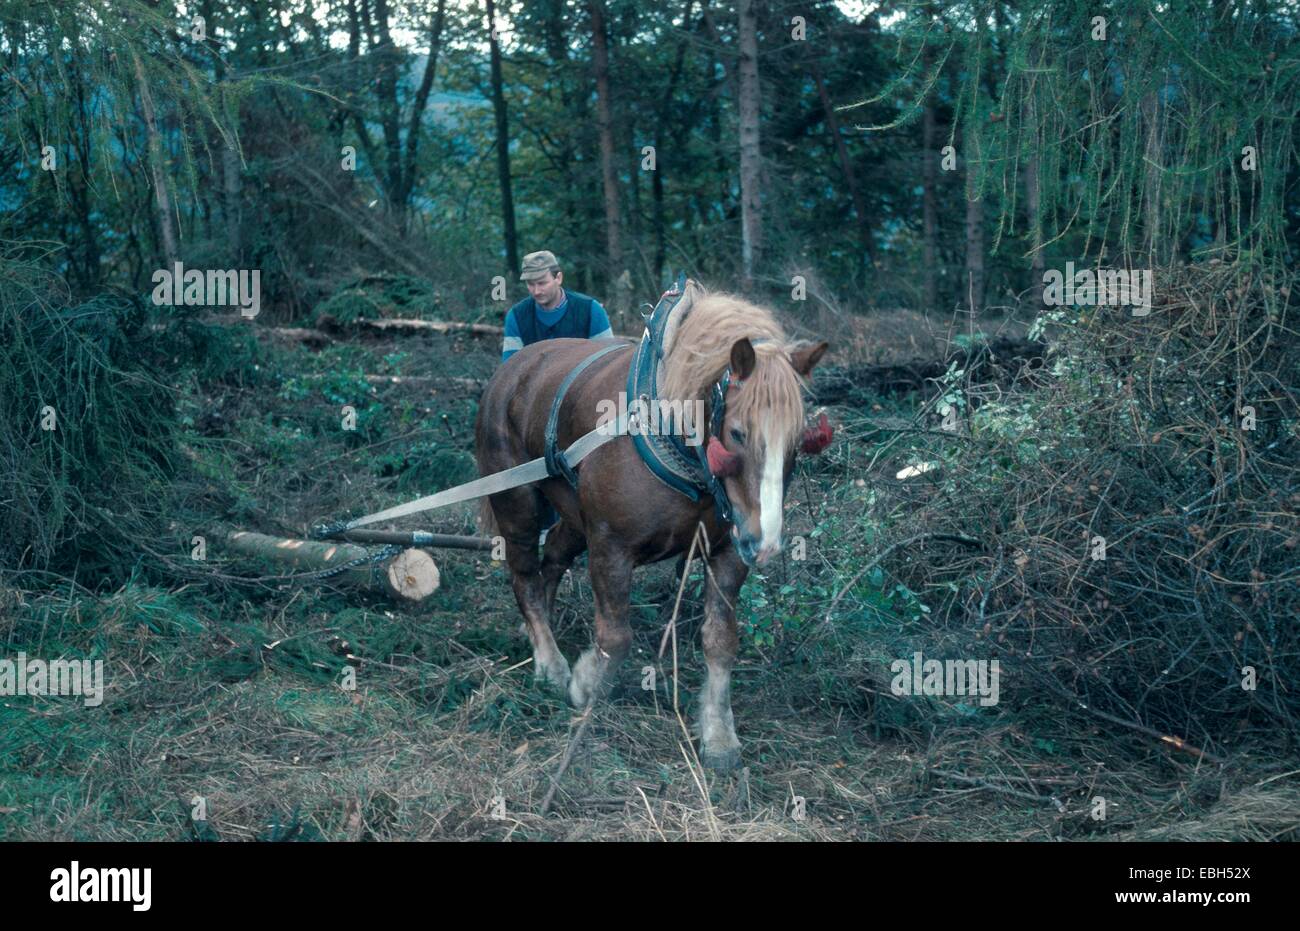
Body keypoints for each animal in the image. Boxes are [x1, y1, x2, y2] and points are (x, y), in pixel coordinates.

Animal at [474, 284, 829, 770]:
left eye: (798, 441)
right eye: (738, 433)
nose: (766, 543)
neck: (670, 424)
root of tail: (515, 367)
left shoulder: (728, 552)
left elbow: (721, 639)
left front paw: (719, 734)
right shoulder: (610, 545)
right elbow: (617, 637)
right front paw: (584, 683)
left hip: (573, 515)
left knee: (553, 560)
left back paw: (539, 632)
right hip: (518, 502)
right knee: (525, 573)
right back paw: (549, 661)